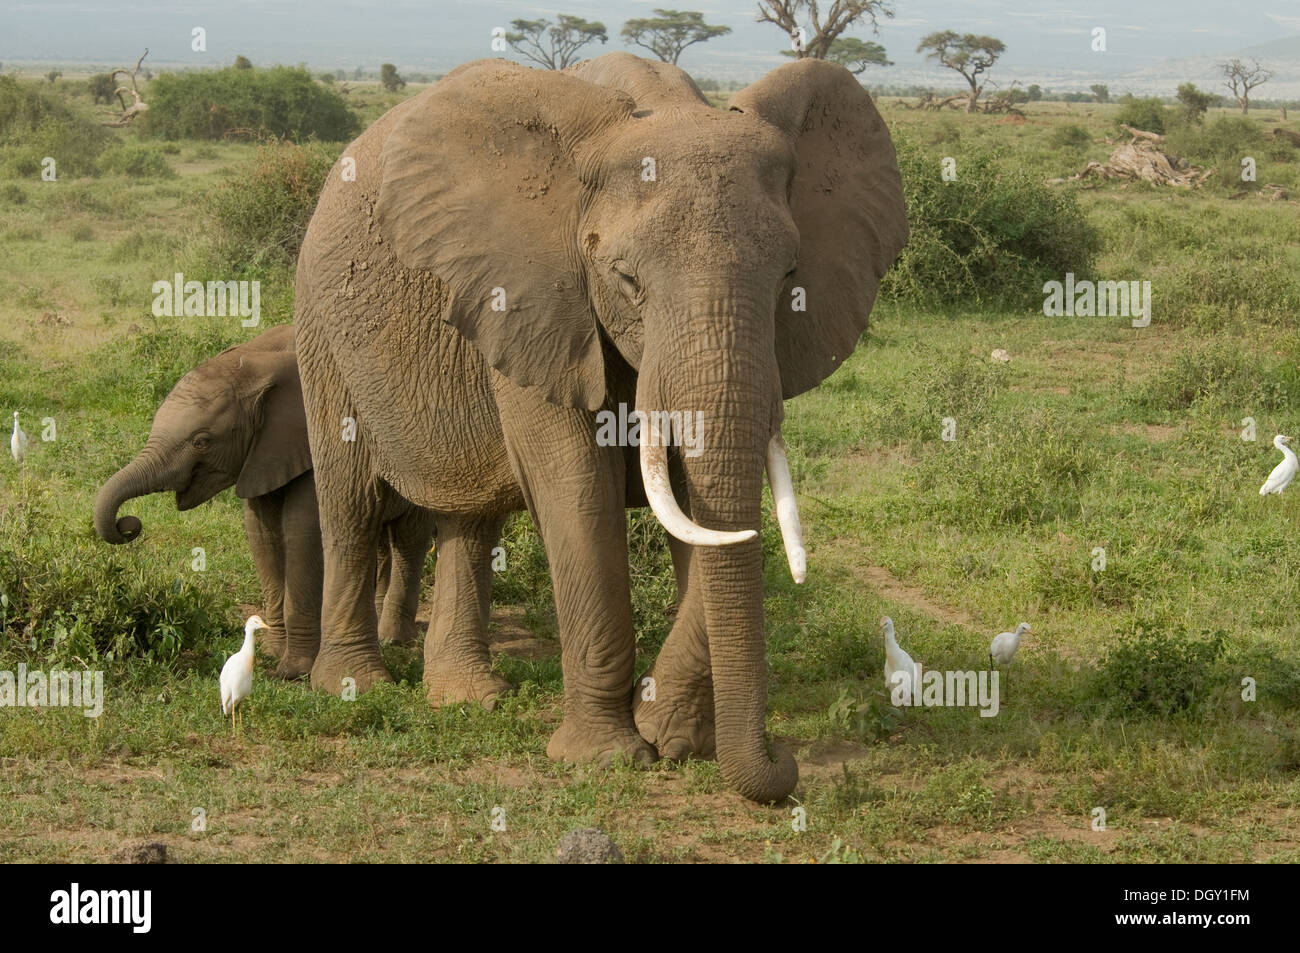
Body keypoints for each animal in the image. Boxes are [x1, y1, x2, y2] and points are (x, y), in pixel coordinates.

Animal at [93, 324, 437, 678]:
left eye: (202, 442)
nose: (128, 524)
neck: (256, 363)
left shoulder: (310, 442)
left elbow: (301, 531)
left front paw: (293, 671)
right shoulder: (261, 453)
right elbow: (262, 534)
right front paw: (271, 653)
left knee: (409, 540)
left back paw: (394, 637)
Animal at [294, 53, 907, 803]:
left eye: (790, 276)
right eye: (625, 279)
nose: (787, 764)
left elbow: (695, 508)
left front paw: (676, 737)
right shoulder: (532, 294)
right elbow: (576, 494)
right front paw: (608, 758)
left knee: (471, 520)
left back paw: (468, 697)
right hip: (320, 324)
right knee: (349, 501)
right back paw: (355, 686)